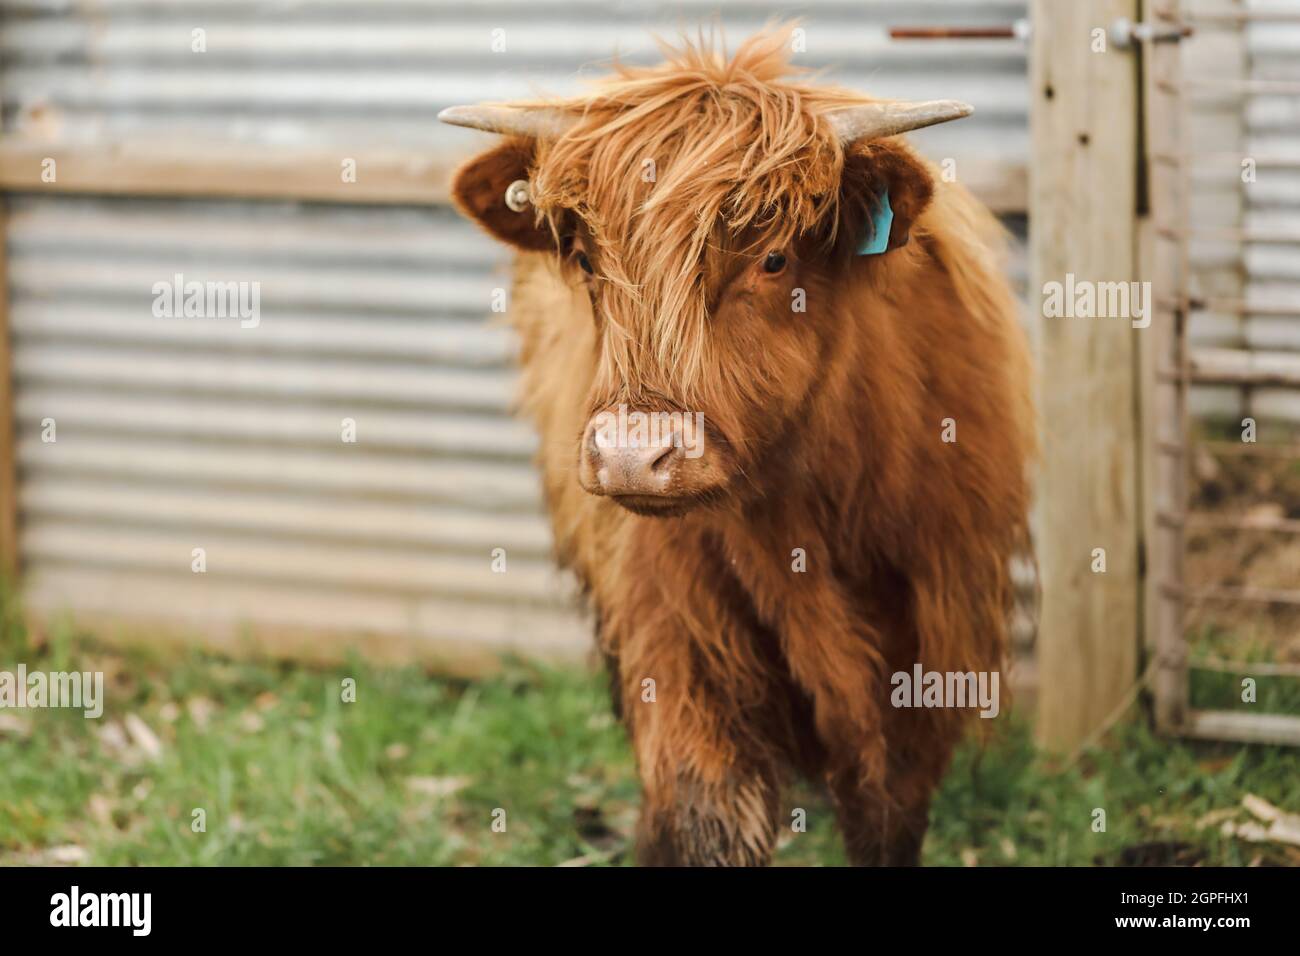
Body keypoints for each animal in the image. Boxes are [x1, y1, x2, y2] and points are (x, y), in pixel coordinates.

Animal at [441, 27, 1035, 866]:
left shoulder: (929, 643)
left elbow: (888, 812)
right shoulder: (677, 636)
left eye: (775, 257)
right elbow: (705, 810)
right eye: (587, 260)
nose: (633, 455)